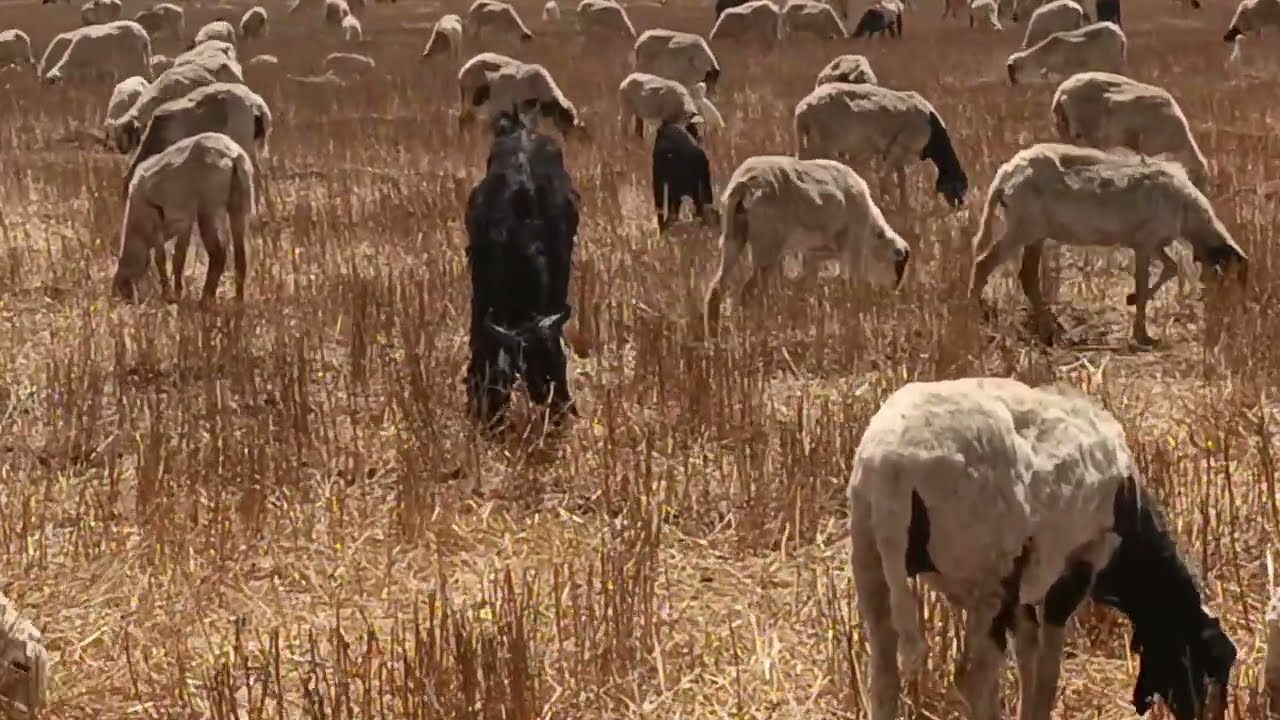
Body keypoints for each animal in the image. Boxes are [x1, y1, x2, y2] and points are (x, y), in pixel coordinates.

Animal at [113, 132, 255, 303]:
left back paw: (205, 300)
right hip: (239, 207)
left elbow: (161, 259)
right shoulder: (184, 224)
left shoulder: (158, 226)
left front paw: (168, 294)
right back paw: (238, 300)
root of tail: (232, 155)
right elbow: (178, 259)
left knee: (218, 254)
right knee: (241, 256)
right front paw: (177, 293)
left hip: (208, 211)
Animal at [702, 155, 911, 335]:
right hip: (767, 247)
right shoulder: (854, 248)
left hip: (733, 237)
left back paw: (714, 338)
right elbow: (854, 286)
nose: (894, 291)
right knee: (747, 293)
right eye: (899, 265)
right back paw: (752, 330)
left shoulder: (812, 255)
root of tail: (744, 184)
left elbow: (808, 286)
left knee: (716, 289)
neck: (872, 235)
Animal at [794, 82, 969, 210]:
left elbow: (901, 179)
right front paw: (886, 203)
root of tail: (803, 111)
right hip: (827, 146)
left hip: (805, 145)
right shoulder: (899, 147)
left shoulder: (895, 154)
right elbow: (886, 178)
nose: (959, 207)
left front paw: (904, 205)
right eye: (960, 187)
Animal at [847, 376, 1239, 720]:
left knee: (883, 675)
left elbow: (1028, 654)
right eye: (1211, 664)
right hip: (991, 575)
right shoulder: (1079, 565)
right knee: (975, 678)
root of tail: (893, 472)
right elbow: (1048, 666)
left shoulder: (1025, 584)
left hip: (870, 561)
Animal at [968, 143, 1247, 347]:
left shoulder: (1154, 242)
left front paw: (1131, 300)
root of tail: (1006, 173)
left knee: (1027, 276)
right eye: (1229, 281)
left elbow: (1170, 268)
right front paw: (1142, 334)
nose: (1232, 319)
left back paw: (1050, 332)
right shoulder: (1145, 243)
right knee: (983, 263)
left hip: (1035, 235)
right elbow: (1147, 283)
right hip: (1021, 229)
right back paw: (974, 315)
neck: (1187, 210)